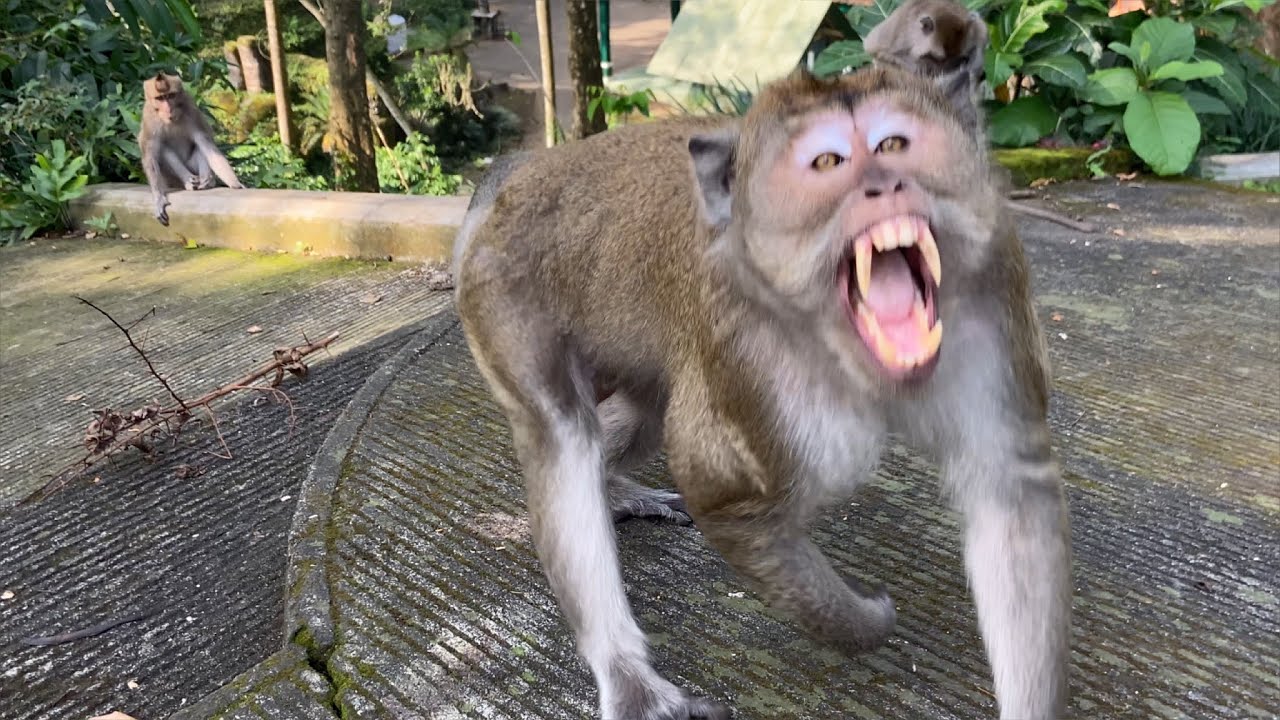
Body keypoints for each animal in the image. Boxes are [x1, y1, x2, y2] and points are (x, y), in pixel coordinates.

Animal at [138, 73, 243, 226]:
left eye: (171, 96)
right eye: (160, 98)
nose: (168, 110)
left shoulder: (191, 110)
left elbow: (205, 143)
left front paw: (235, 184)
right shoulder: (149, 118)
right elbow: (150, 154)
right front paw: (158, 199)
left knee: (200, 146)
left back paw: (207, 180)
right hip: (171, 178)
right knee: (163, 149)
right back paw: (189, 180)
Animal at [453, 64, 1071, 720]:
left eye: (895, 144)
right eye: (826, 162)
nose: (886, 186)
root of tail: (522, 171)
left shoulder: (992, 291)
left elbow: (1012, 494)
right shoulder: (750, 352)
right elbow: (730, 501)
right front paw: (865, 620)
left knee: (645, 410)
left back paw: (615, 486)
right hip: (501, 292)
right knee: (562, 434)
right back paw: (628, 677)